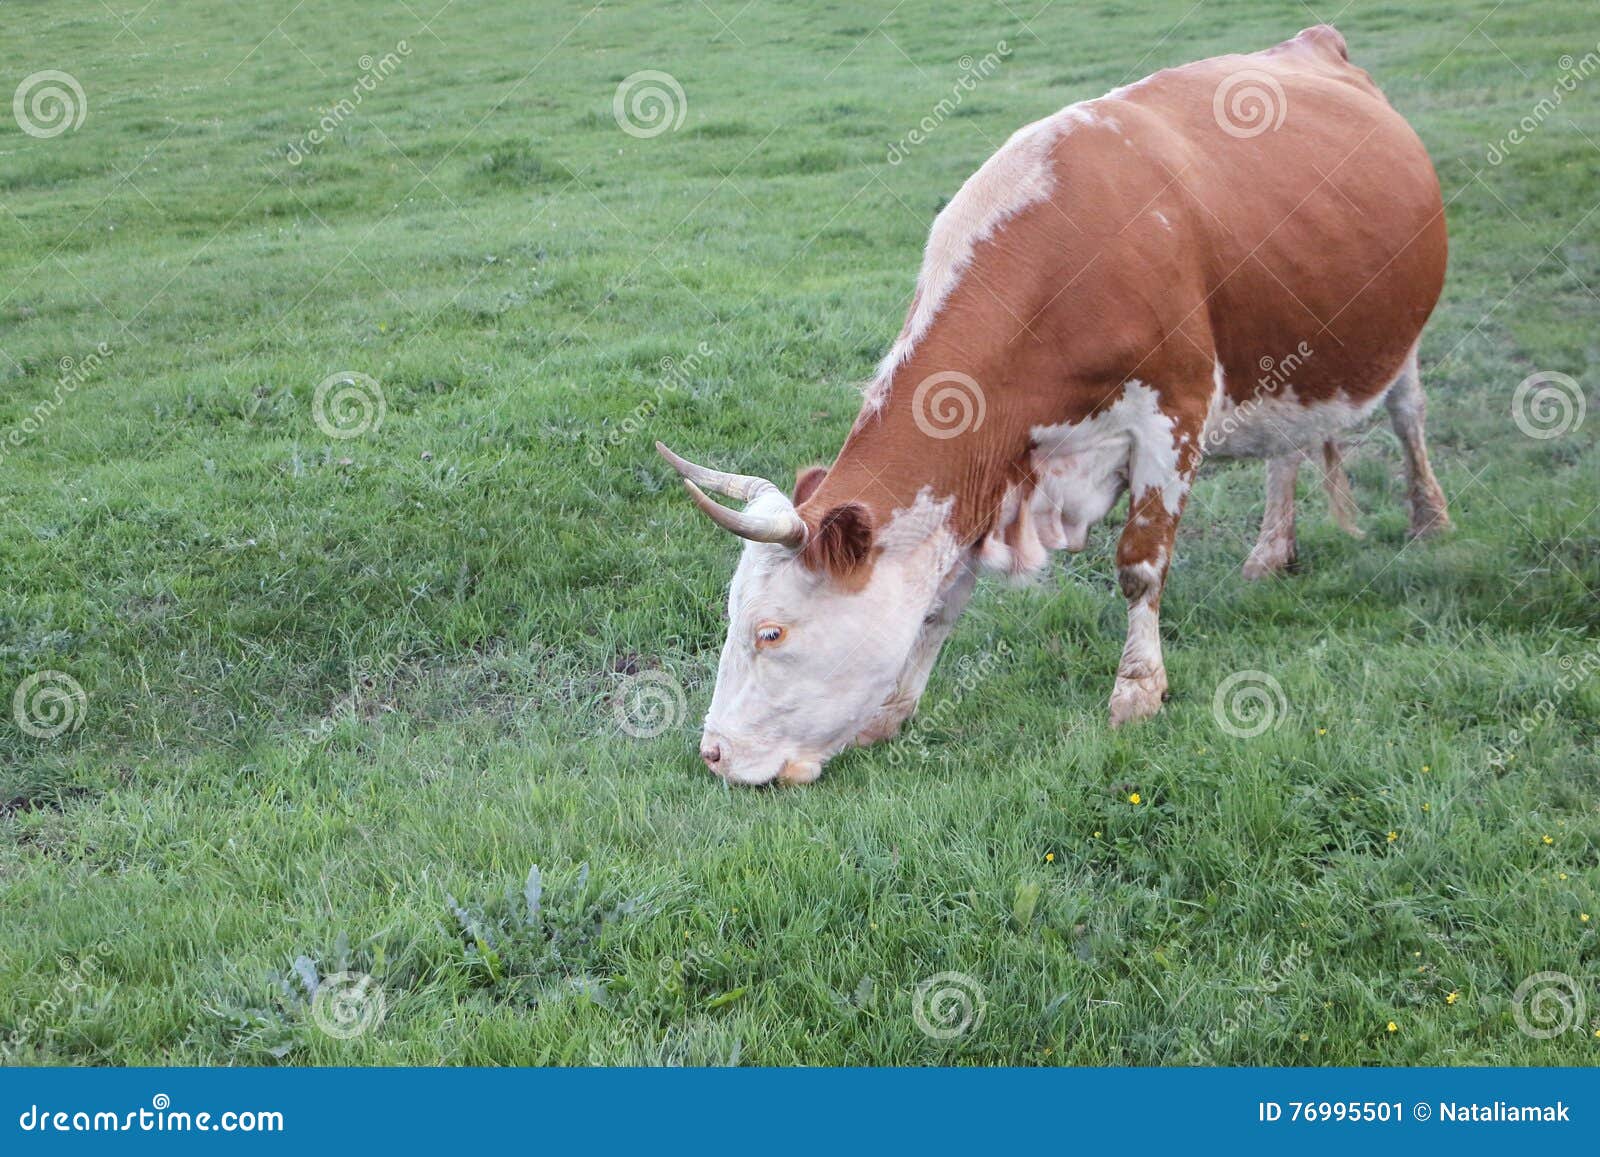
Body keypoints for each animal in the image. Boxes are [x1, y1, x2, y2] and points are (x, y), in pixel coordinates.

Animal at [658, 26, 1451, 785]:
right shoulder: (991, 466)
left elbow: (1140, 563)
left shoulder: (1173, 415)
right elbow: (942, 596)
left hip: (1404, 331)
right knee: (1286, 447)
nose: (714, 754)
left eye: (771, 632)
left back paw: (1428, 519)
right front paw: (892, 711)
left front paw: (1138, 689)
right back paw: (1270, 551)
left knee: (1409, 414)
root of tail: (1313, 42)